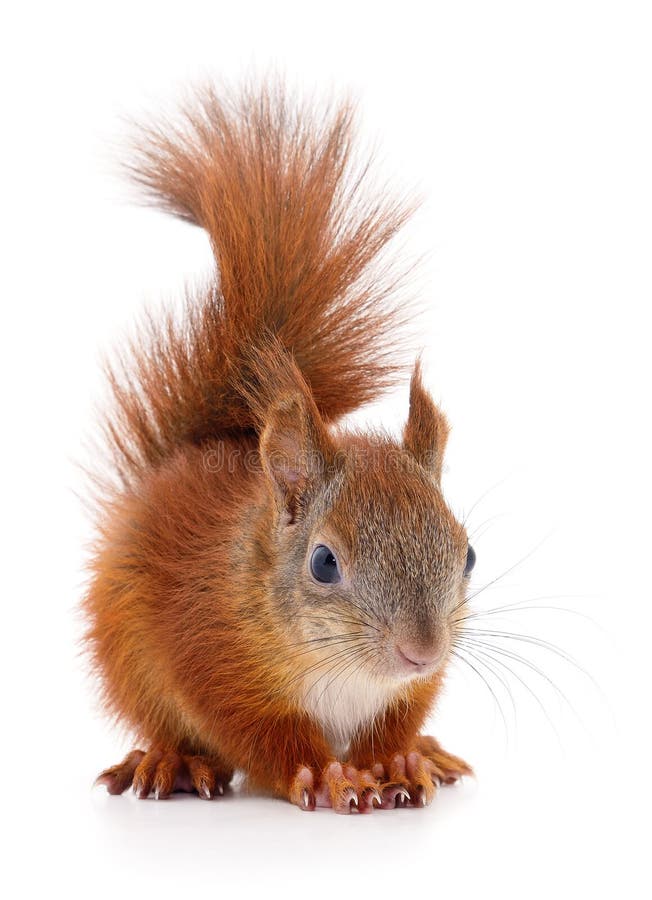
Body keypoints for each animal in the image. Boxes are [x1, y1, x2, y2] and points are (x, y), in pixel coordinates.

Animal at [87, 82, 474, 813]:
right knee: (164, 723)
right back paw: (170, 760)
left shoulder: (402, 693)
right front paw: (323, 773)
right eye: (323, 563)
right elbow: (258, 732)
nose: (422, 651)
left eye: (467, 555)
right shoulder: (209, 648)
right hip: (126, 650)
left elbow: (393, 724)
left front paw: (401, 757)